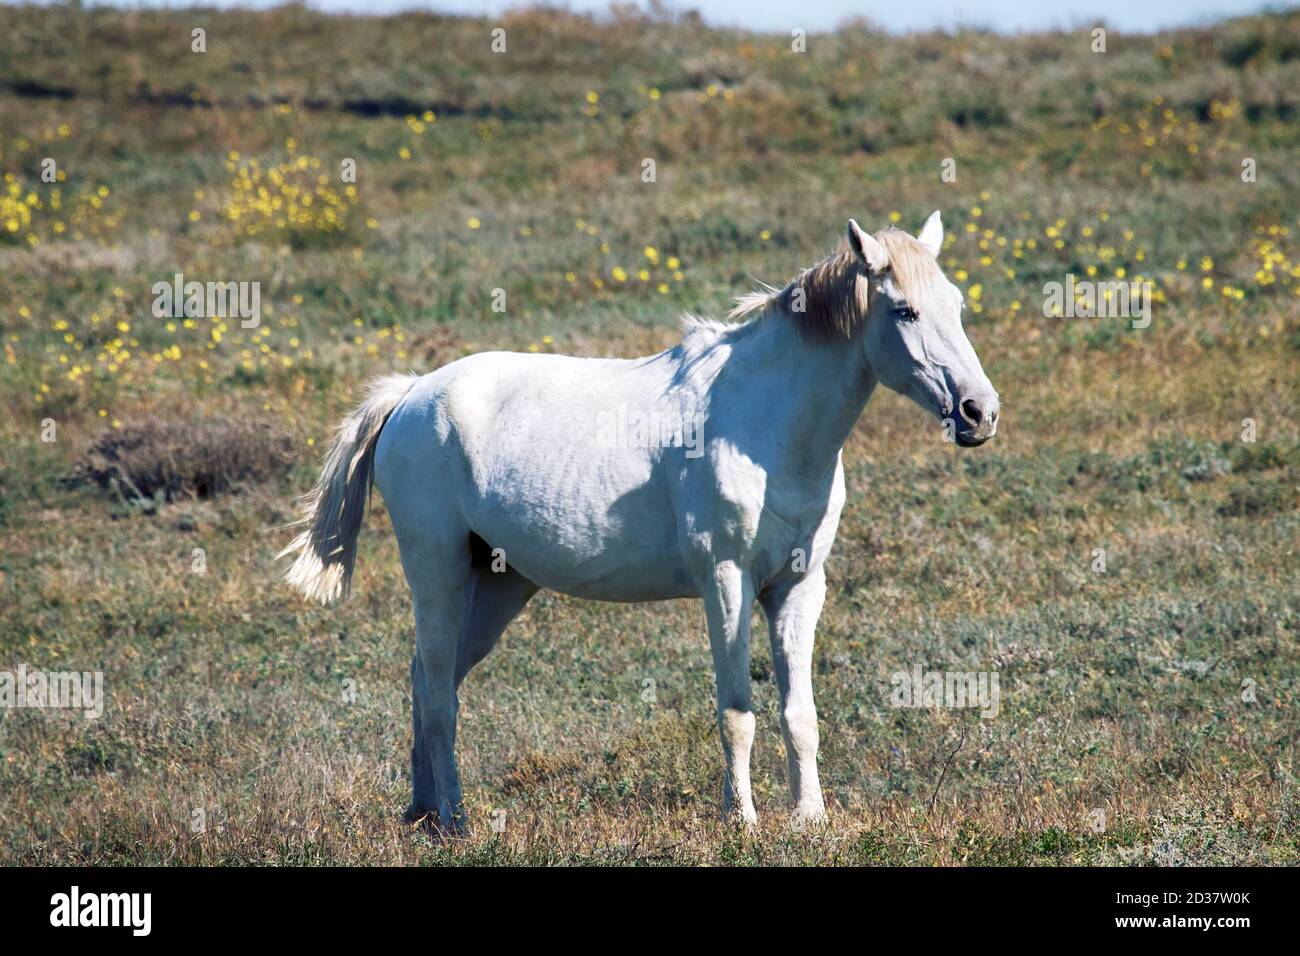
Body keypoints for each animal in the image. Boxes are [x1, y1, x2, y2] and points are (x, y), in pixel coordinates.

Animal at [280, 211, 1000, 831]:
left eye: (957, 305)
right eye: (904, 310)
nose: (978, 411)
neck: (763, 421)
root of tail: (410, 394)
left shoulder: (799, 587)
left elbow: (799, 713)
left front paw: (810, 818)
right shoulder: (726, 581)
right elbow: (736, 712)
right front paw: (741, 820)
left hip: (497, 586)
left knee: (429, 681)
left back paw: (423, 811)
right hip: (438, 574)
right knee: (435, 693)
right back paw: (454, 820)